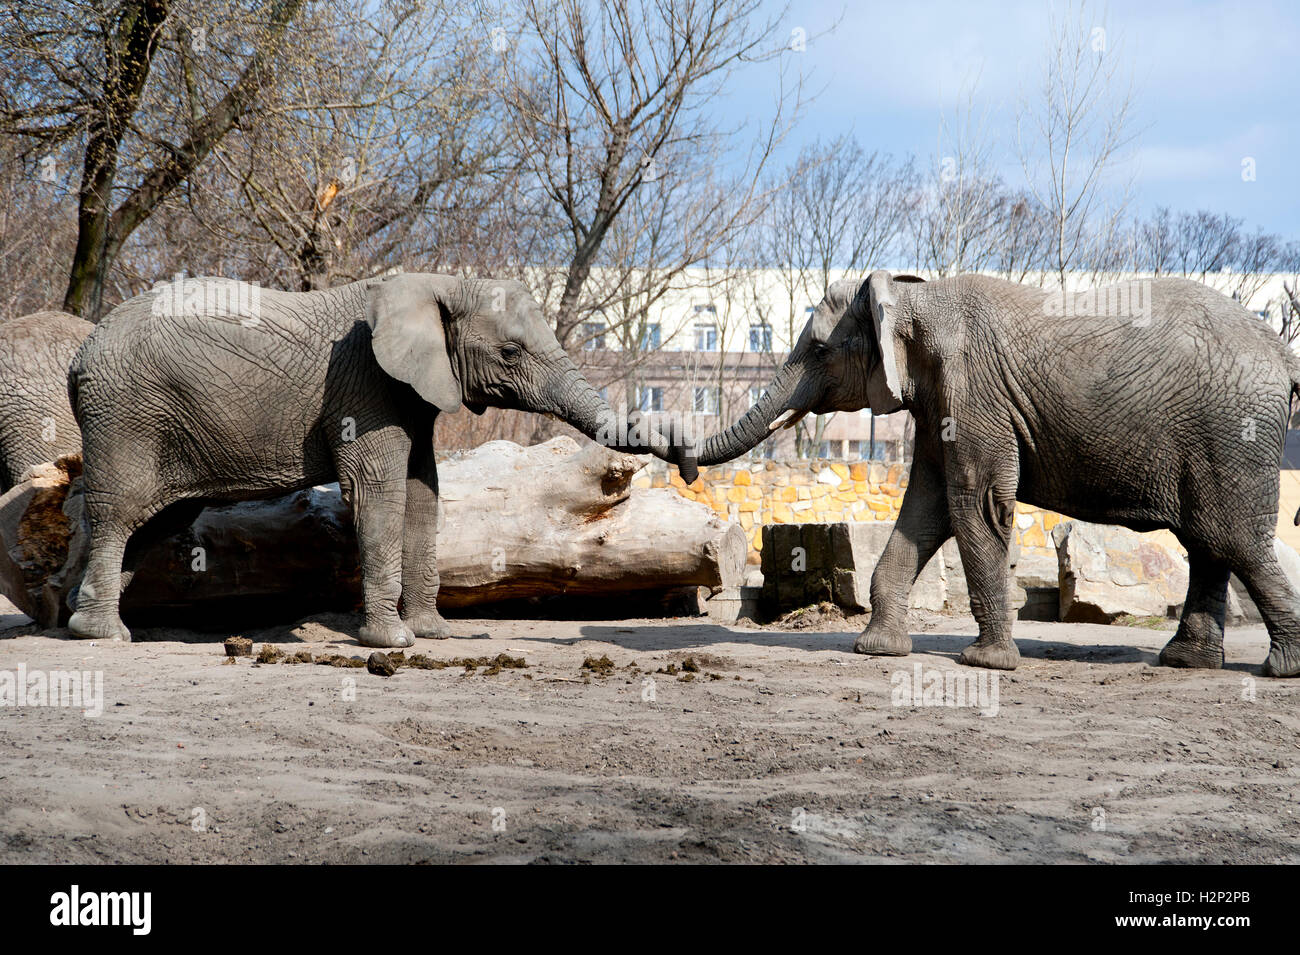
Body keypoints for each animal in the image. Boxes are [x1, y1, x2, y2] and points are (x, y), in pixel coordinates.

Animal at [66, 272, 691, 647]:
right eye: (510, 353)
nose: (686, 465)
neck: (439, 282)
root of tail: (80, 354)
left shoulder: (410, 393)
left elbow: (423, 495)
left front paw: (432, 634)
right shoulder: (363, 387)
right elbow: (379, 493)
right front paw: (393, 643)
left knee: (154, 522)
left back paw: (80, 619)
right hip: (125, 413)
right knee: (120, 513)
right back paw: (103, 635)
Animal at [691, 270, 1300, 677]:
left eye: (819, 349)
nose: (686, 466)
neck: (916, 293)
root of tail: (1280, 352)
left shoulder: (972, 393)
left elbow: (975, 503)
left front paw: (986, 664)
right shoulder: (940, 403)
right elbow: (927, 508)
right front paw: (876, 650)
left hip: (1232, 432)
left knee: (1232, 538)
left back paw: (1279, 670)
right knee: (1209, 542)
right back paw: (1185, 663)